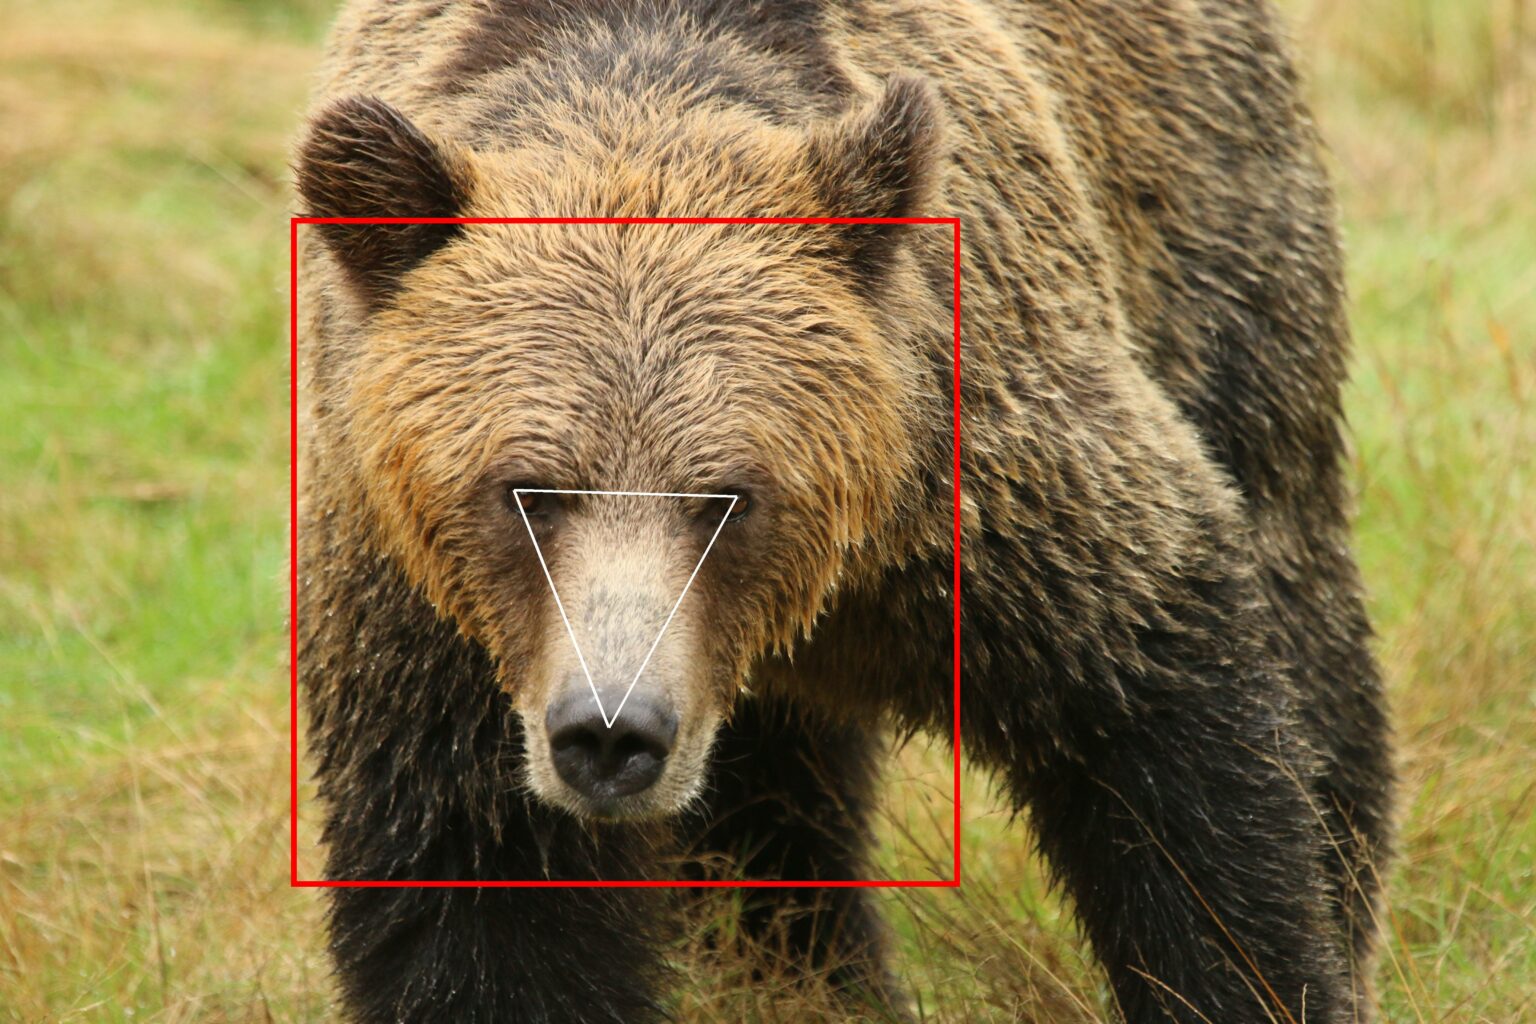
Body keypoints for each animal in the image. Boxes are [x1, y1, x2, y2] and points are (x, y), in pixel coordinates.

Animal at [292, 1, 1394, 1022]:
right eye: (531, 490)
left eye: (727, 496)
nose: (611, 731)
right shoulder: (425, 612)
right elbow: (488, 899)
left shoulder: (990, 487)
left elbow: (1171, 738)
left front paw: (1264, 971)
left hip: (1207, 227)